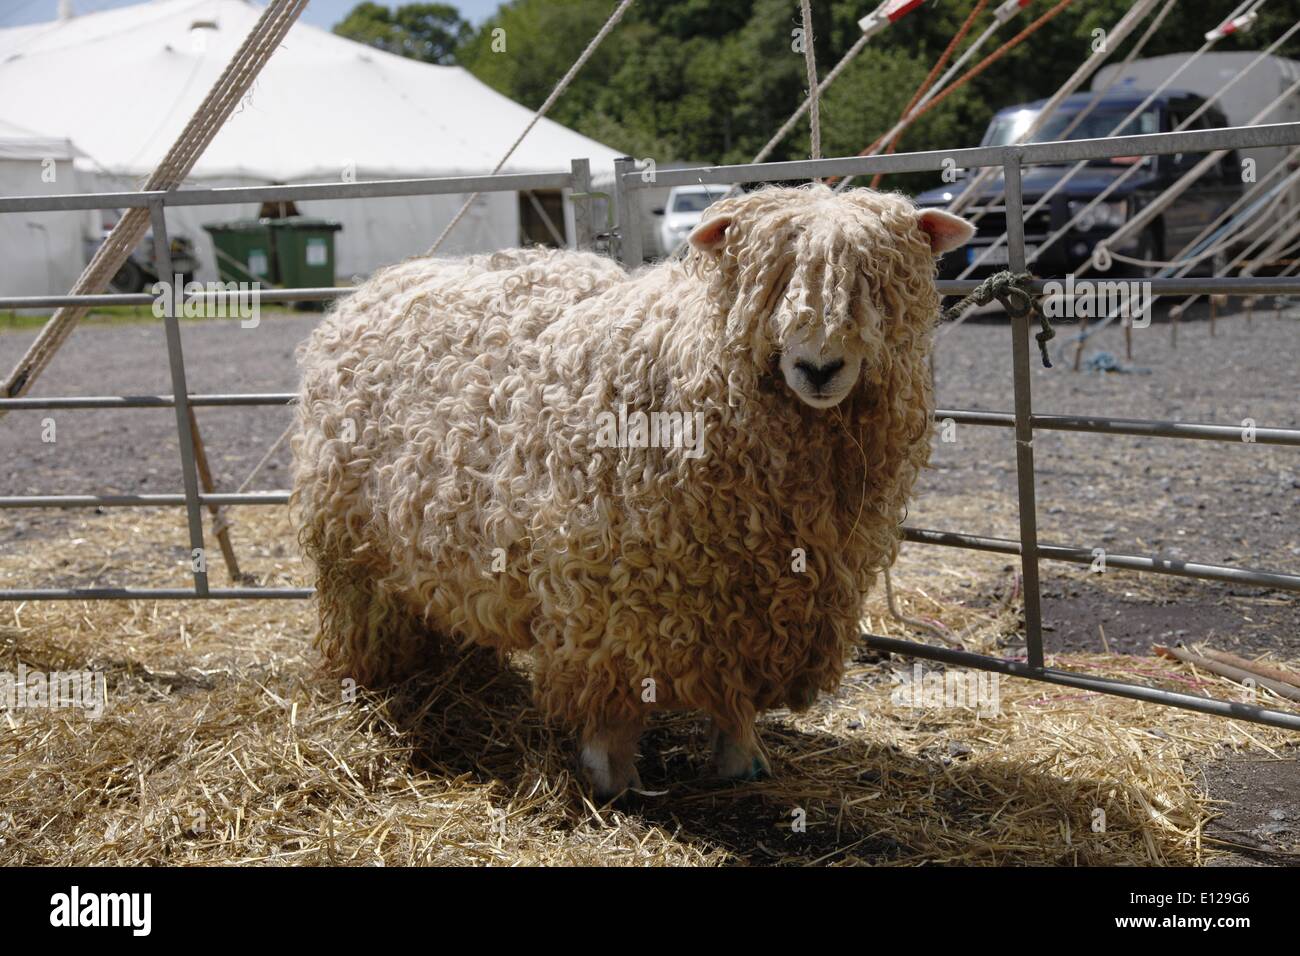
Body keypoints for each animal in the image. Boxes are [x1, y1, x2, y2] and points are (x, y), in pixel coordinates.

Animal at [291, 184, 974, 799]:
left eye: (875, 282)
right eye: (770, 279)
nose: (819, 368)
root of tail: (380, 281)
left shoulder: (753, 600)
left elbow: (732, 695)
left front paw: (742, 760)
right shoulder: (608, 587)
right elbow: (612, 703)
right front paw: (610, 779)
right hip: (349, 545)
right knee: (361, 613)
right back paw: (376, 685)